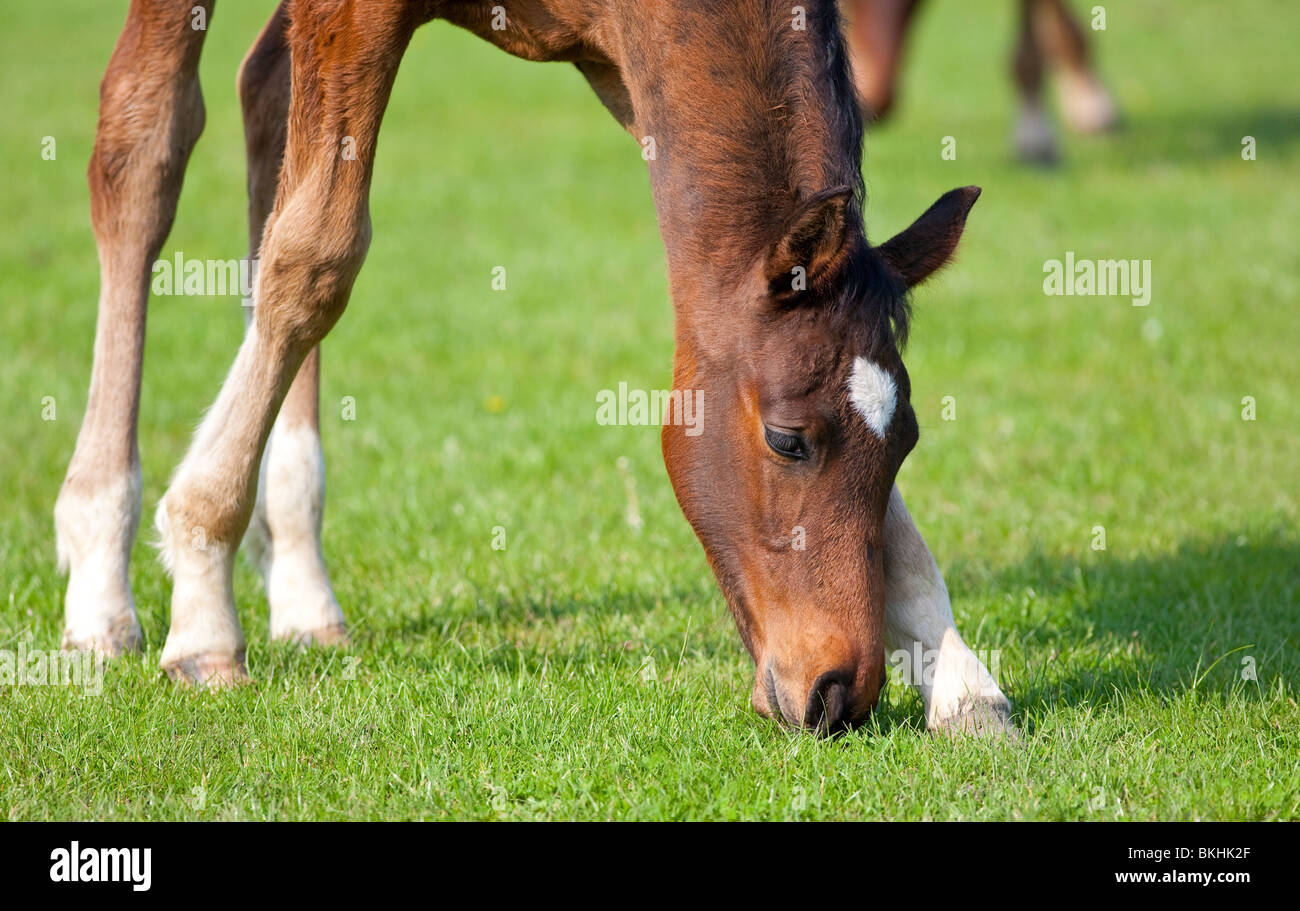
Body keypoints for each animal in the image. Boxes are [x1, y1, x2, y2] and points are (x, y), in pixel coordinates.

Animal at [53, 0, 1013, 736]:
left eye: (905, 445)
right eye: (786, 439)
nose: (839, 692)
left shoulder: (630, 65)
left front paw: (960, 675)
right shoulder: (361, 11)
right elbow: (315, 252)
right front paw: (201, 594)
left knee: (264, 95)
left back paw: (300, 581)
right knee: (144, 142)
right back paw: (100, 576)